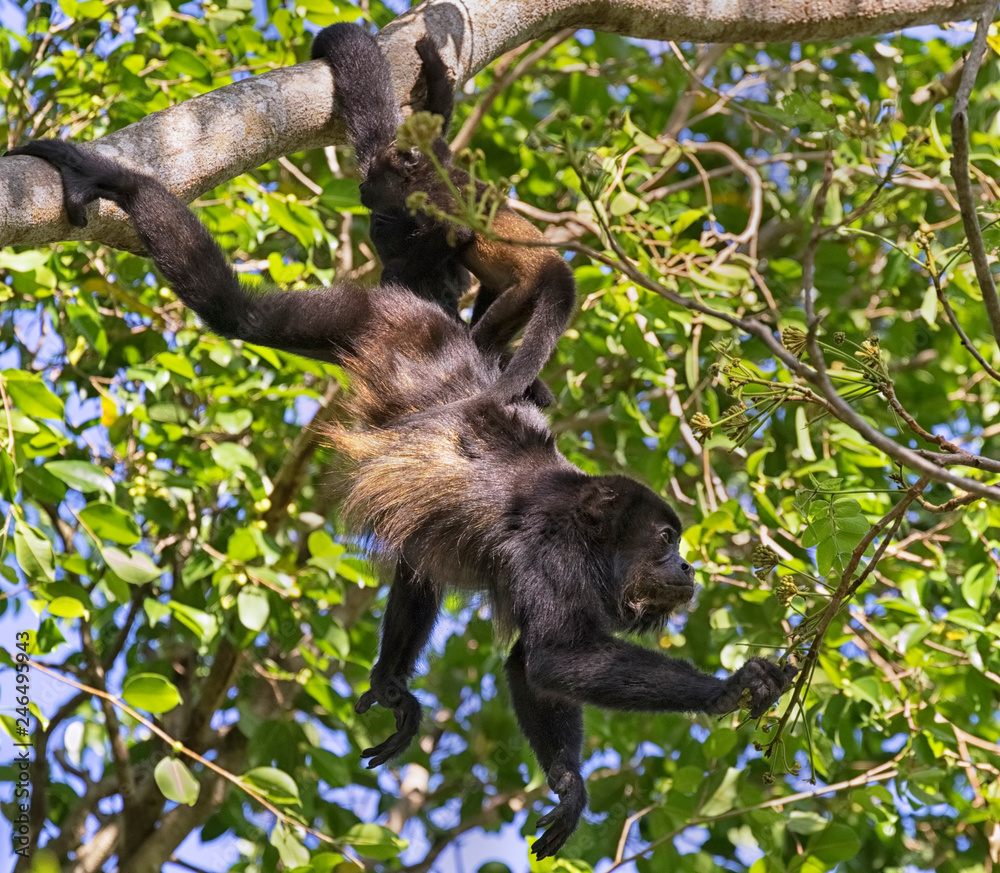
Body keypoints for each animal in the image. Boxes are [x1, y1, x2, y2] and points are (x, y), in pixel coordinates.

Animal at [6, 139, 796, 860]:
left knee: (423, 557)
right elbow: (553, 657)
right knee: (241, 314)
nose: (688, 569)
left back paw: (392, 680)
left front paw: (570, 786)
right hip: (362, 314)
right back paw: (115, 180)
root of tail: (416, 312)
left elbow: (527, 666)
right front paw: (729, 686)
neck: (582, 523)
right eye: (665, 539)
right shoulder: (552, 553)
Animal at [311, 23, 576, 408]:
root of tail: (559, 273)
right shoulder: (437, 155)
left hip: (524, 293)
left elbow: (456, 233)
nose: (360, 188)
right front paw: (434, 63)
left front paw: (397, 272)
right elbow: (436, 124)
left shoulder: (434, 195)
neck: (423, 176)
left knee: (490, 327)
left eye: (372, 176)